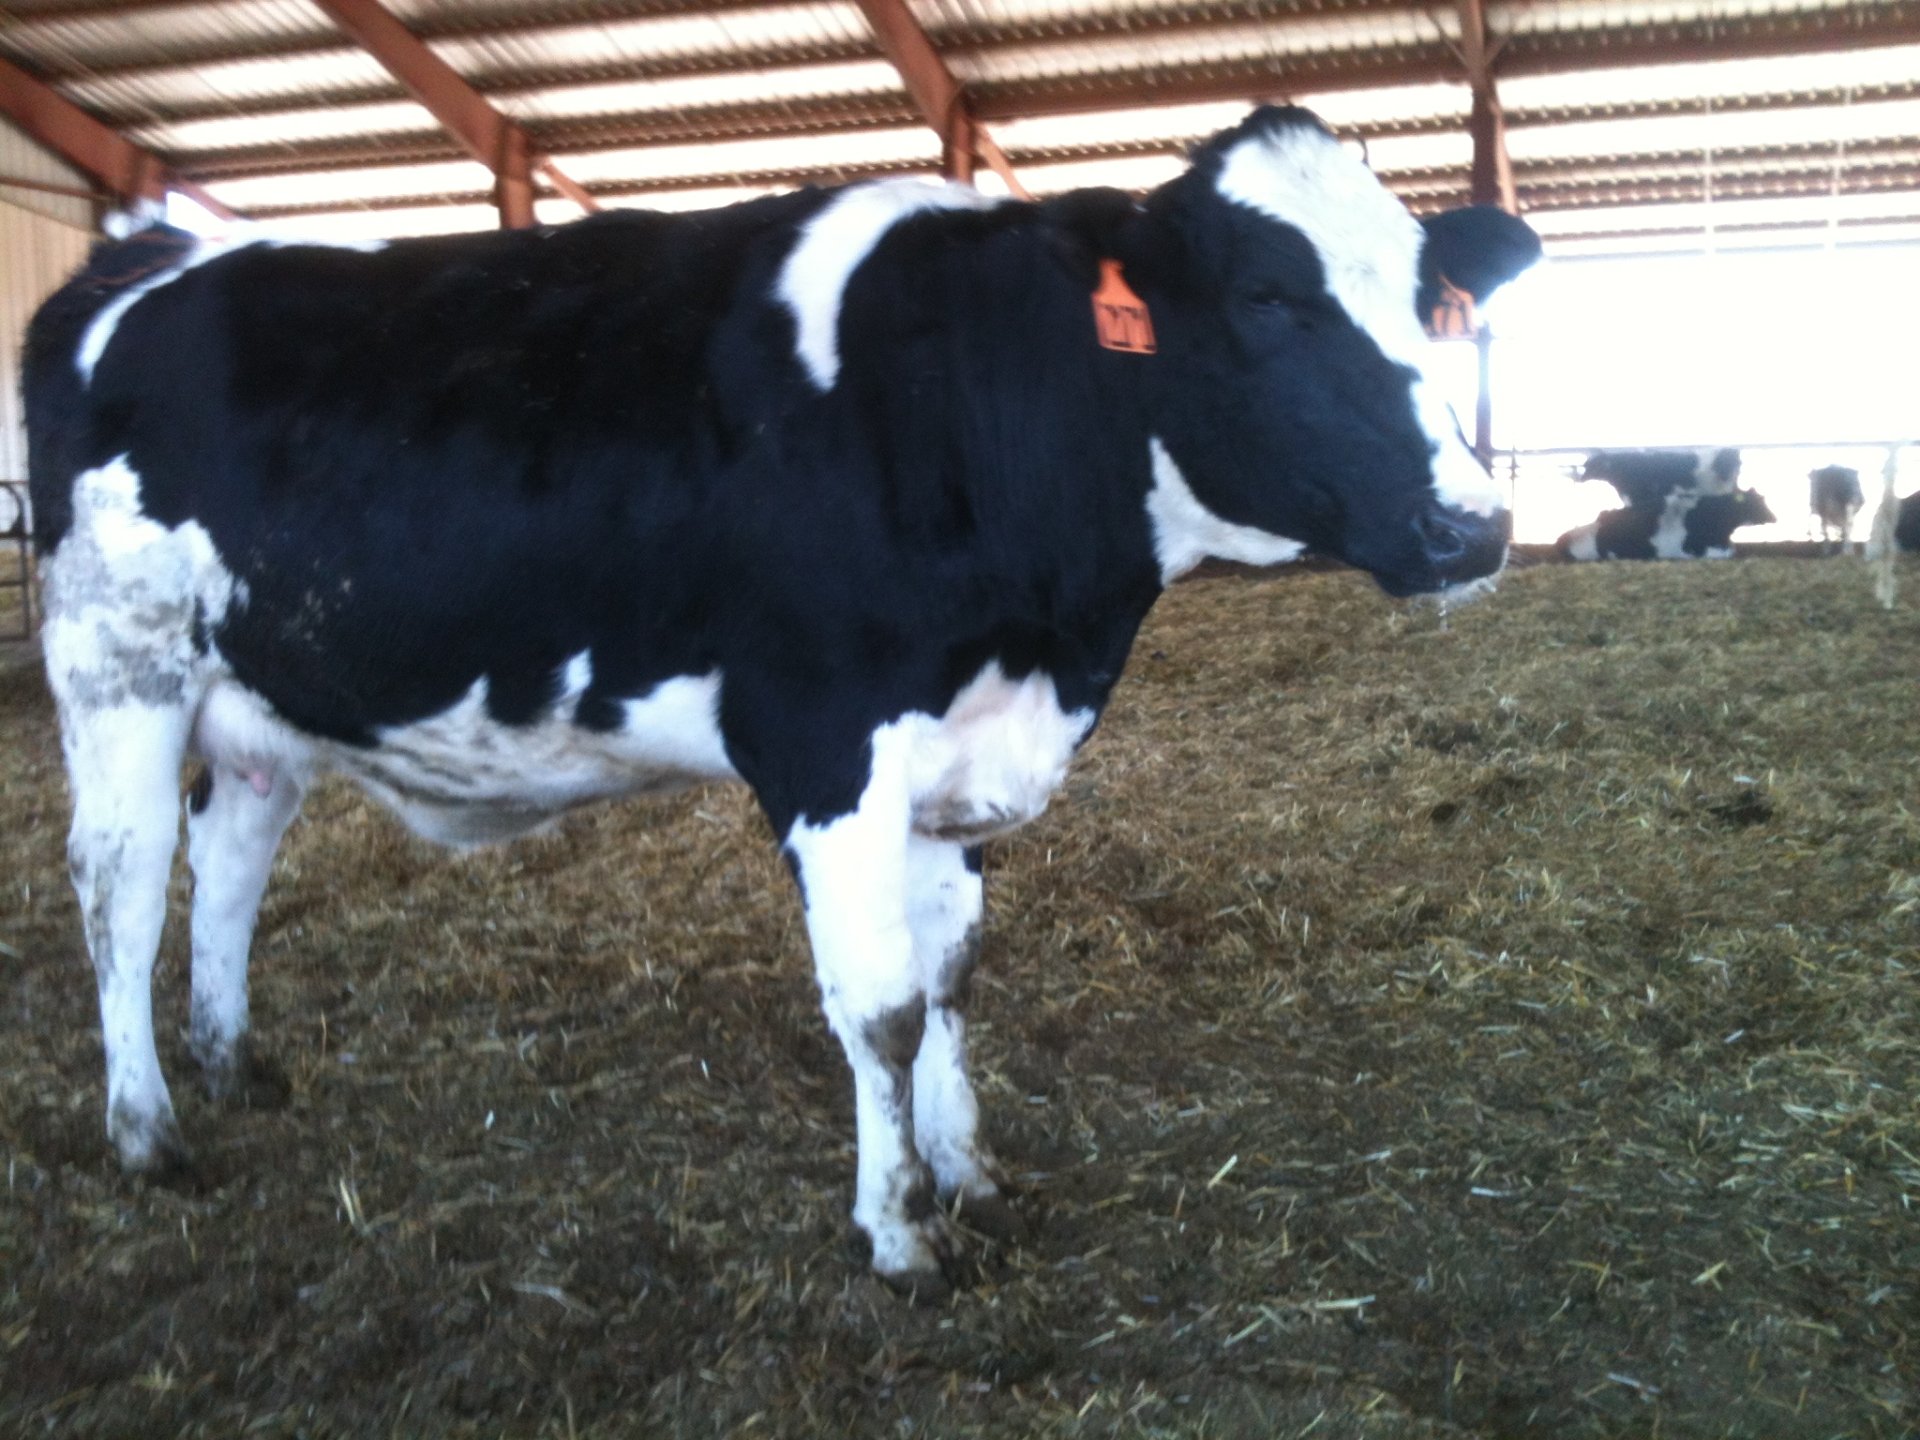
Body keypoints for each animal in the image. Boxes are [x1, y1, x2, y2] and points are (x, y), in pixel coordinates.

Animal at [25, 107, 1539, 1300]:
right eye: (1270, 299)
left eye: (1434, 303)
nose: (1474, 526)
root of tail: (143, 254)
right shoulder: (830, 747)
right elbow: (879, 1008)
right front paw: (902, 1234)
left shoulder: (955, 754)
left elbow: (951, 980)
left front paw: (969, 1170)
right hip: (118, 663)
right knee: (123, 881)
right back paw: (150, 1129)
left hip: (260, 692)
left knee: (229, 858)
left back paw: (235, 1064)